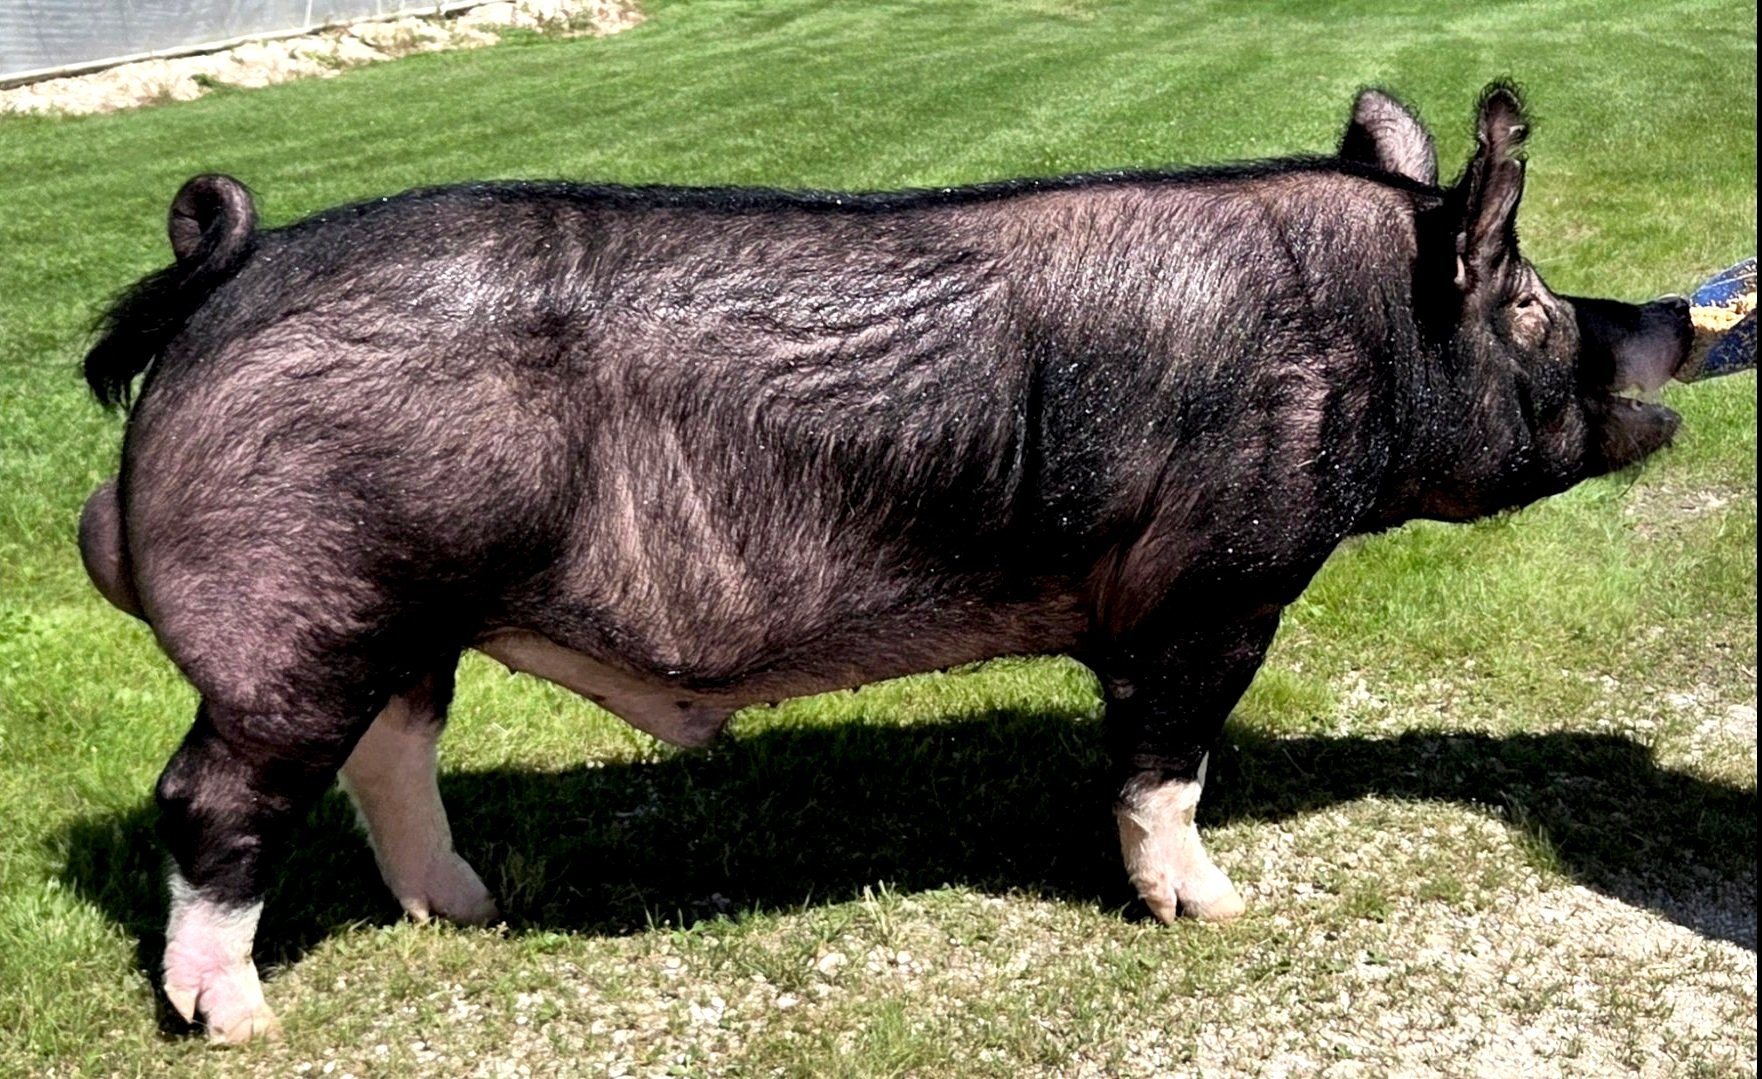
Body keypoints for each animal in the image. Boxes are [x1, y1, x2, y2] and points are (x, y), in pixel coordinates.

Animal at [78, 83, 1691, 1041]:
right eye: (1531, 303)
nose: (1667, 323)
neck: (1360, 331)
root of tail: (225, 272)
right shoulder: (1216, 583)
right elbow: (1167, 762)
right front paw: (1218, 909)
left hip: (398, 610)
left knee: (388, 751)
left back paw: (471, 909)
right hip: (300, 609)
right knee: (212, 796)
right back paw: (239, 1018)